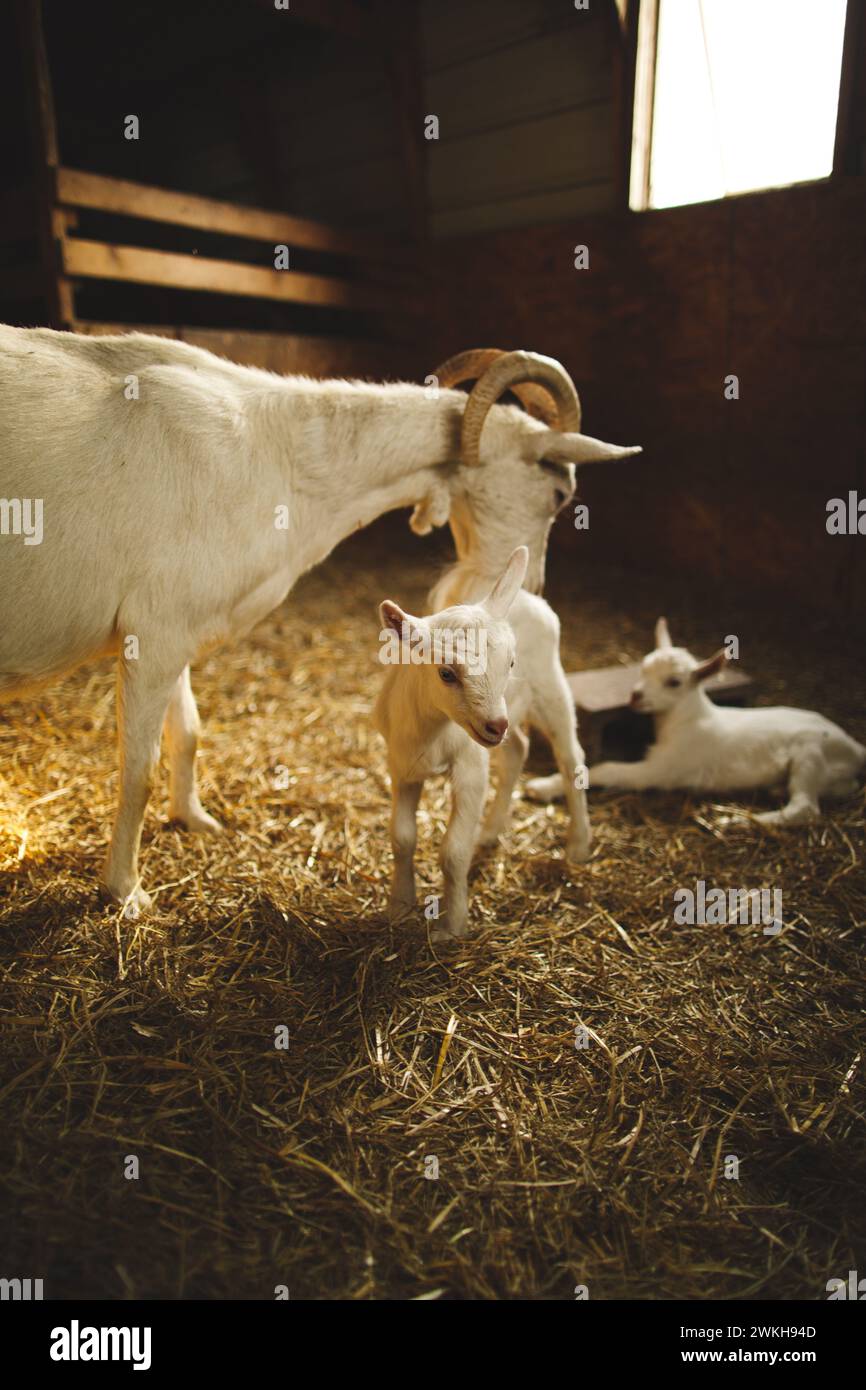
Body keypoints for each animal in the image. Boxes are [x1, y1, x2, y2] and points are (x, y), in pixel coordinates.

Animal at [373, 546, 527, 941]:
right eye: (446, 673)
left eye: (512, 663)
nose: (495, 725)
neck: (436, 729)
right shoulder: (401, 765)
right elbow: (402, 837)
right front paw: (400, 905)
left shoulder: (471, 768)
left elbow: (454, 851)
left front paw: (453, 924)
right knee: (518, 748)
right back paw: (491, 831)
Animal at [527, 618, 866, 826]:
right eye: (644, 667)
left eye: (674, 682)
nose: (636, 696)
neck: (688, 721)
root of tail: (855, 748)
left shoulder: (664, 768)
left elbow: (606, 768)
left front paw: (543, 786)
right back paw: (773, 792)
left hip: (810, 754)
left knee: (805, 808)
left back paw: (739, 822)